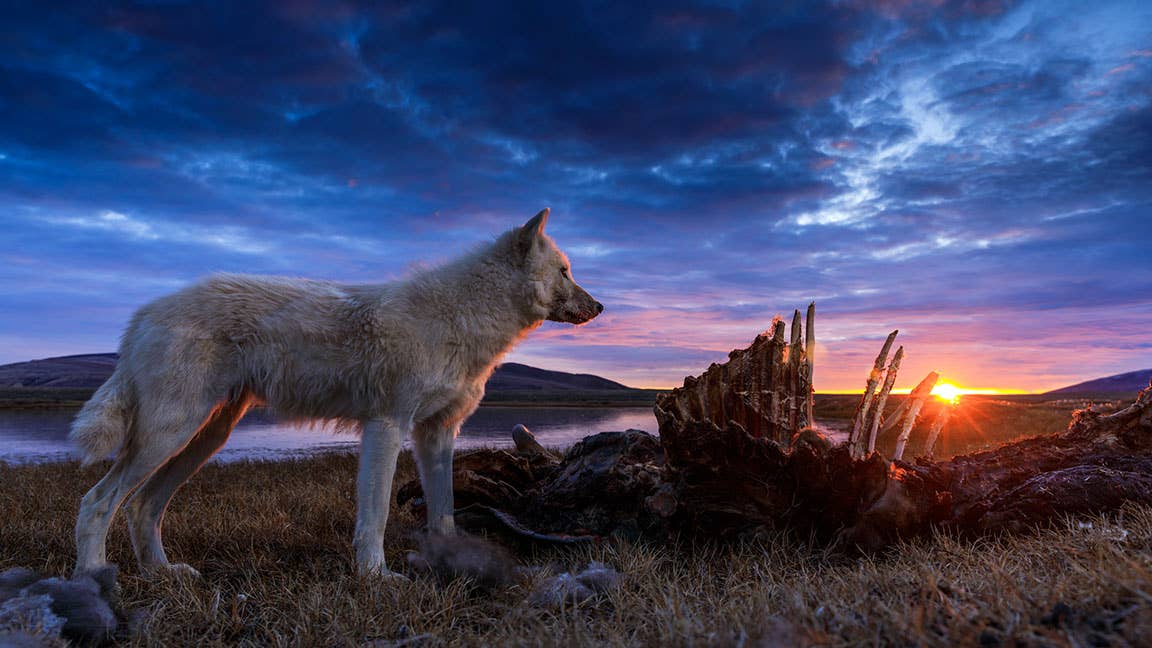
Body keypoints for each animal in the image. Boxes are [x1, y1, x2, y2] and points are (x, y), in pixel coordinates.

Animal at [70, 209, 601, 578]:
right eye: (565, 271)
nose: (599, 307)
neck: (463, 318)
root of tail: (143, 313)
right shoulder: (387, 426)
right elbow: (377, 513)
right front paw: (375, 576)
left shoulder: (437, 434)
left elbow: (445, 510)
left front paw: (453, 561)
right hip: (170, 435)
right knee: (97, 501)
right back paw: (94, 576)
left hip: (204, 438)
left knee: (142, 506)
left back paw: (162, 573)